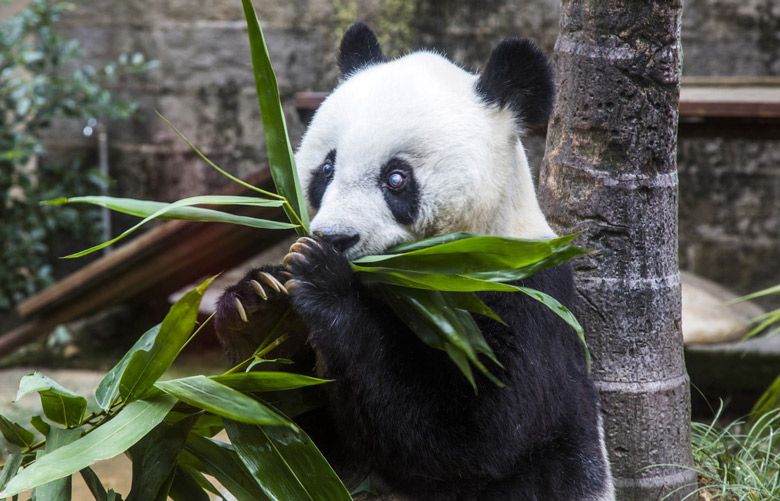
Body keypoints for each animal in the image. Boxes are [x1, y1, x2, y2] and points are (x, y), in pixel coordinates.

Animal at [216, 22, 615, 501]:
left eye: (396, 178)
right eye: (326, 169)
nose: (335, 238)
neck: (412, 277)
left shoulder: (524, 297)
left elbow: (471, 441)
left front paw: (323, 278)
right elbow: (294, 436)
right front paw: (257, 305)